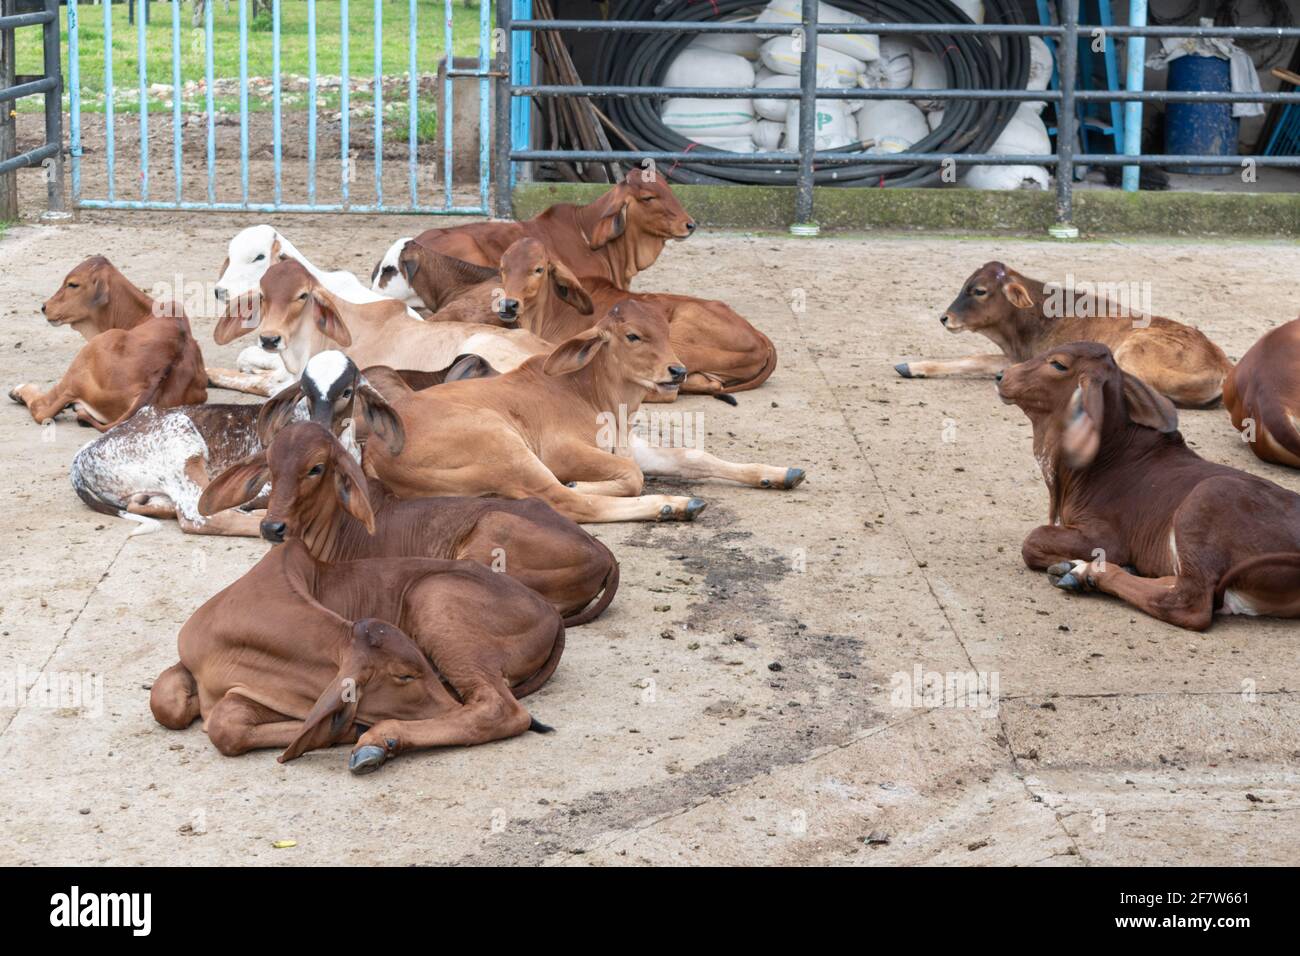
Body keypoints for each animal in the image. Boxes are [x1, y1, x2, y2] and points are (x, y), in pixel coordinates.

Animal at [364, 300, 806, 524]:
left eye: (667, 331)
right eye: (633, 336)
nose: (677, 371)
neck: (593, 393)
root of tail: (377, 449)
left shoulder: (629, 446)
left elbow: (694, 456)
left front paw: (778, 473)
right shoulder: (561, 451)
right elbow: (631, 476)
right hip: (504, 444)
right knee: (564, 502)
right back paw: (672, 505)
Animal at [896, 261, 1232, 407]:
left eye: (979, 290)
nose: (945, 317)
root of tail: (1224, 364)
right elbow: (976, 358)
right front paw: (910, 366)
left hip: (1132, 350)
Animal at [998, 341, 1300, 629]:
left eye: (1058, 364)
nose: (1001, 375)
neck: (1106, 456)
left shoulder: (1105, 538)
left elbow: (1032, 541)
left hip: (1208, 498)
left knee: (1186, 604)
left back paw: (1085, 573)